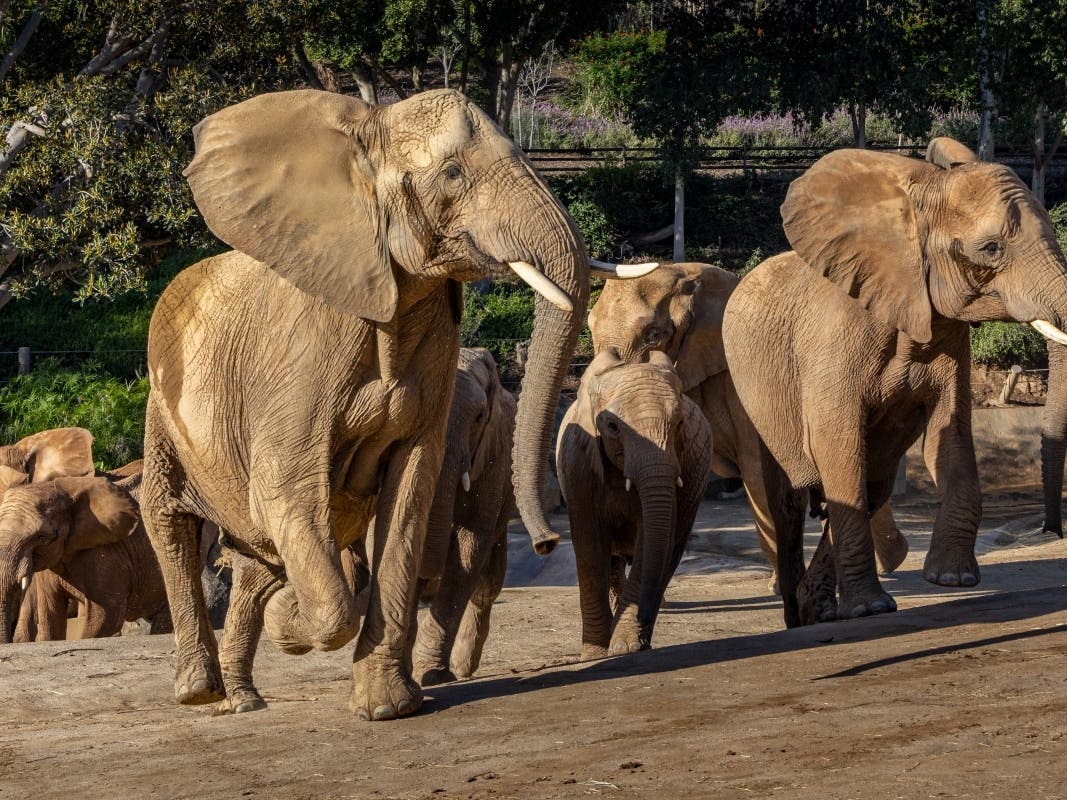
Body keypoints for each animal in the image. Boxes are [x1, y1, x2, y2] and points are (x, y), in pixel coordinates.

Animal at [411, 347, 516, 687]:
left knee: (487, 585)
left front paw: (432, 675)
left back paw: (462, 667)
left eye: (479, 418)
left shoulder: (493, 454)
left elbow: (469, 549)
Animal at [556, 349, 713, 658]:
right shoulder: (577, 461)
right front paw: (594, 654)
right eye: (612, 427)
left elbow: (650, 540)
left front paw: (625, 647)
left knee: (670, 551)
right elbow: (589, 545)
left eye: (679, 424)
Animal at [588, 263, 910, 594]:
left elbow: (758, 474)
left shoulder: (746, 389)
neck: (685, 273)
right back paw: (888, 562)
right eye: (590, 328)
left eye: (653, 335)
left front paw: (779, 587)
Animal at [721, 136, 1067, 625]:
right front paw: (871, 609)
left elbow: (949, 433)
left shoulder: (946, 331)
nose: (1049, 531)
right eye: (990, 248)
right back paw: (799, 617)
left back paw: (818, 609)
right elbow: (837, 441)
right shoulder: (835, 336)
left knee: (870, 486)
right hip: (748, 395)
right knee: (784, 503)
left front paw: (952, 579)